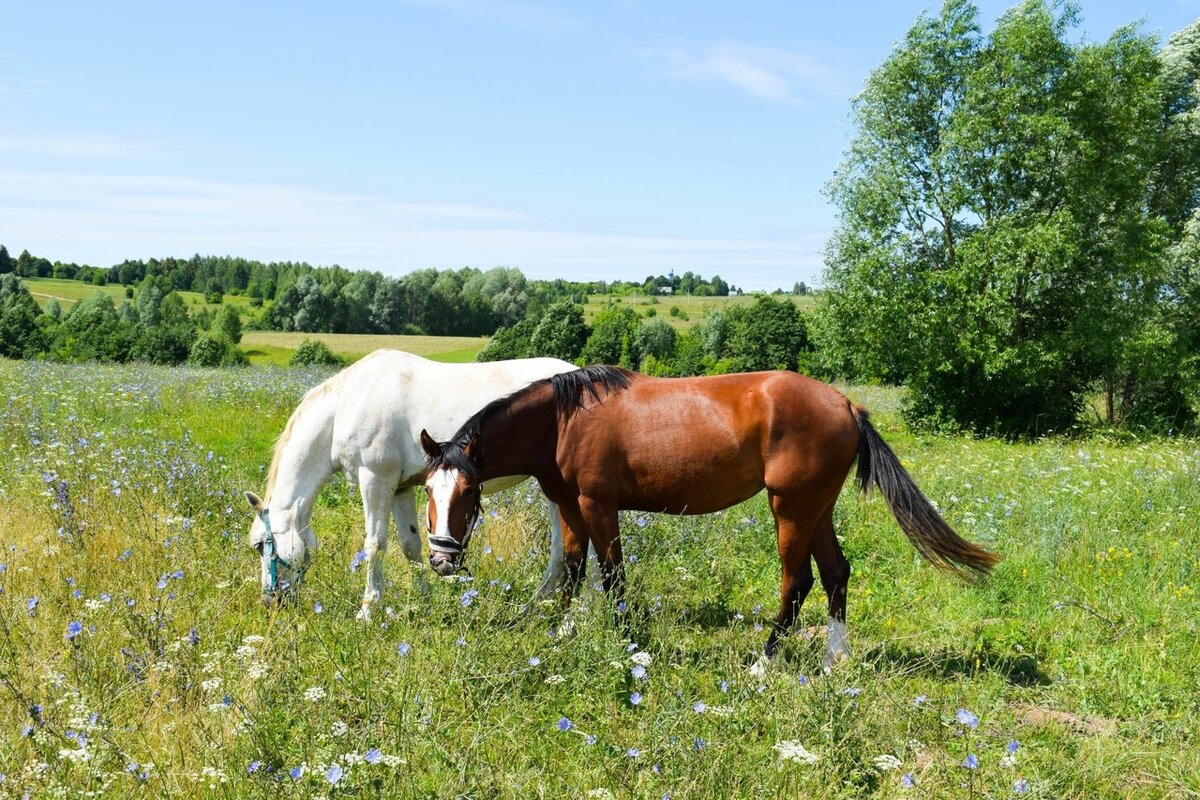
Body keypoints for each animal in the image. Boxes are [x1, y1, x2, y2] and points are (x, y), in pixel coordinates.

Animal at [241, 350, 578, 618]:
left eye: (259, 545)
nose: (269, 601)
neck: (346, 407)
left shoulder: (375, 480)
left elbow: (375, 544)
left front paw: (368, 609)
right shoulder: (401, 488)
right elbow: (410, 546)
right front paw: (424, 603)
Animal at [417, 367, 998, 666]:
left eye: (468, 491)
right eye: (427, 488)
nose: (442, 562)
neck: (563, 421)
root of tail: (845, 404)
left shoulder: (597, 506)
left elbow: (612, 575)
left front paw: (627, 644)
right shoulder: (568, 506)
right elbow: (574, 571)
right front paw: (561, 634)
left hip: (791, 508)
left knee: (797, 581)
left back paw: (764, 661)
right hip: (818, 510)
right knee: (836, 573)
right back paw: (834, 658)